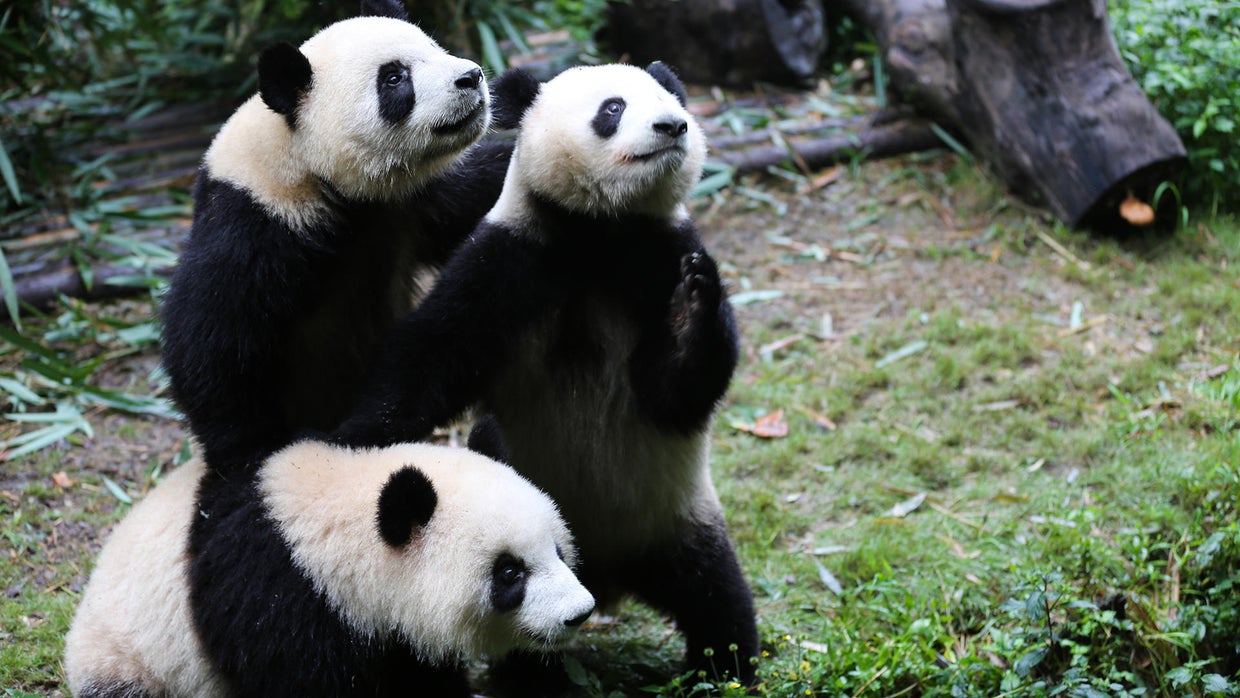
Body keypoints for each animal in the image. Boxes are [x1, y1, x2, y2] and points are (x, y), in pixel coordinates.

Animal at [64, 440, 595, 697]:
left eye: (558, 550)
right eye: (509, 573)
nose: (580, 612)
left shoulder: (391, 637)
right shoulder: (279, 604)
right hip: (131, 658)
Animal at [160, 0, 512, 475]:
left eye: (435, 48)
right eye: (394, 78)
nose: (471, 77)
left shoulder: (418, 198)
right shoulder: (257, 224)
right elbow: (213, 341)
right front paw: (247, 449)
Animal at [333, 63, 758, 686]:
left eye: (670, 98)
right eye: (612, 108)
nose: (673, 125)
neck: (600, 229)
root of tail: (605, 578)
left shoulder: (656, 255)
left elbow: (677, 392)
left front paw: (694, 301)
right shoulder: (514, 259)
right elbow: (431, 357)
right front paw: (354, 442)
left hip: (675, 516)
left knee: (715, 594)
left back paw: (728, 668)